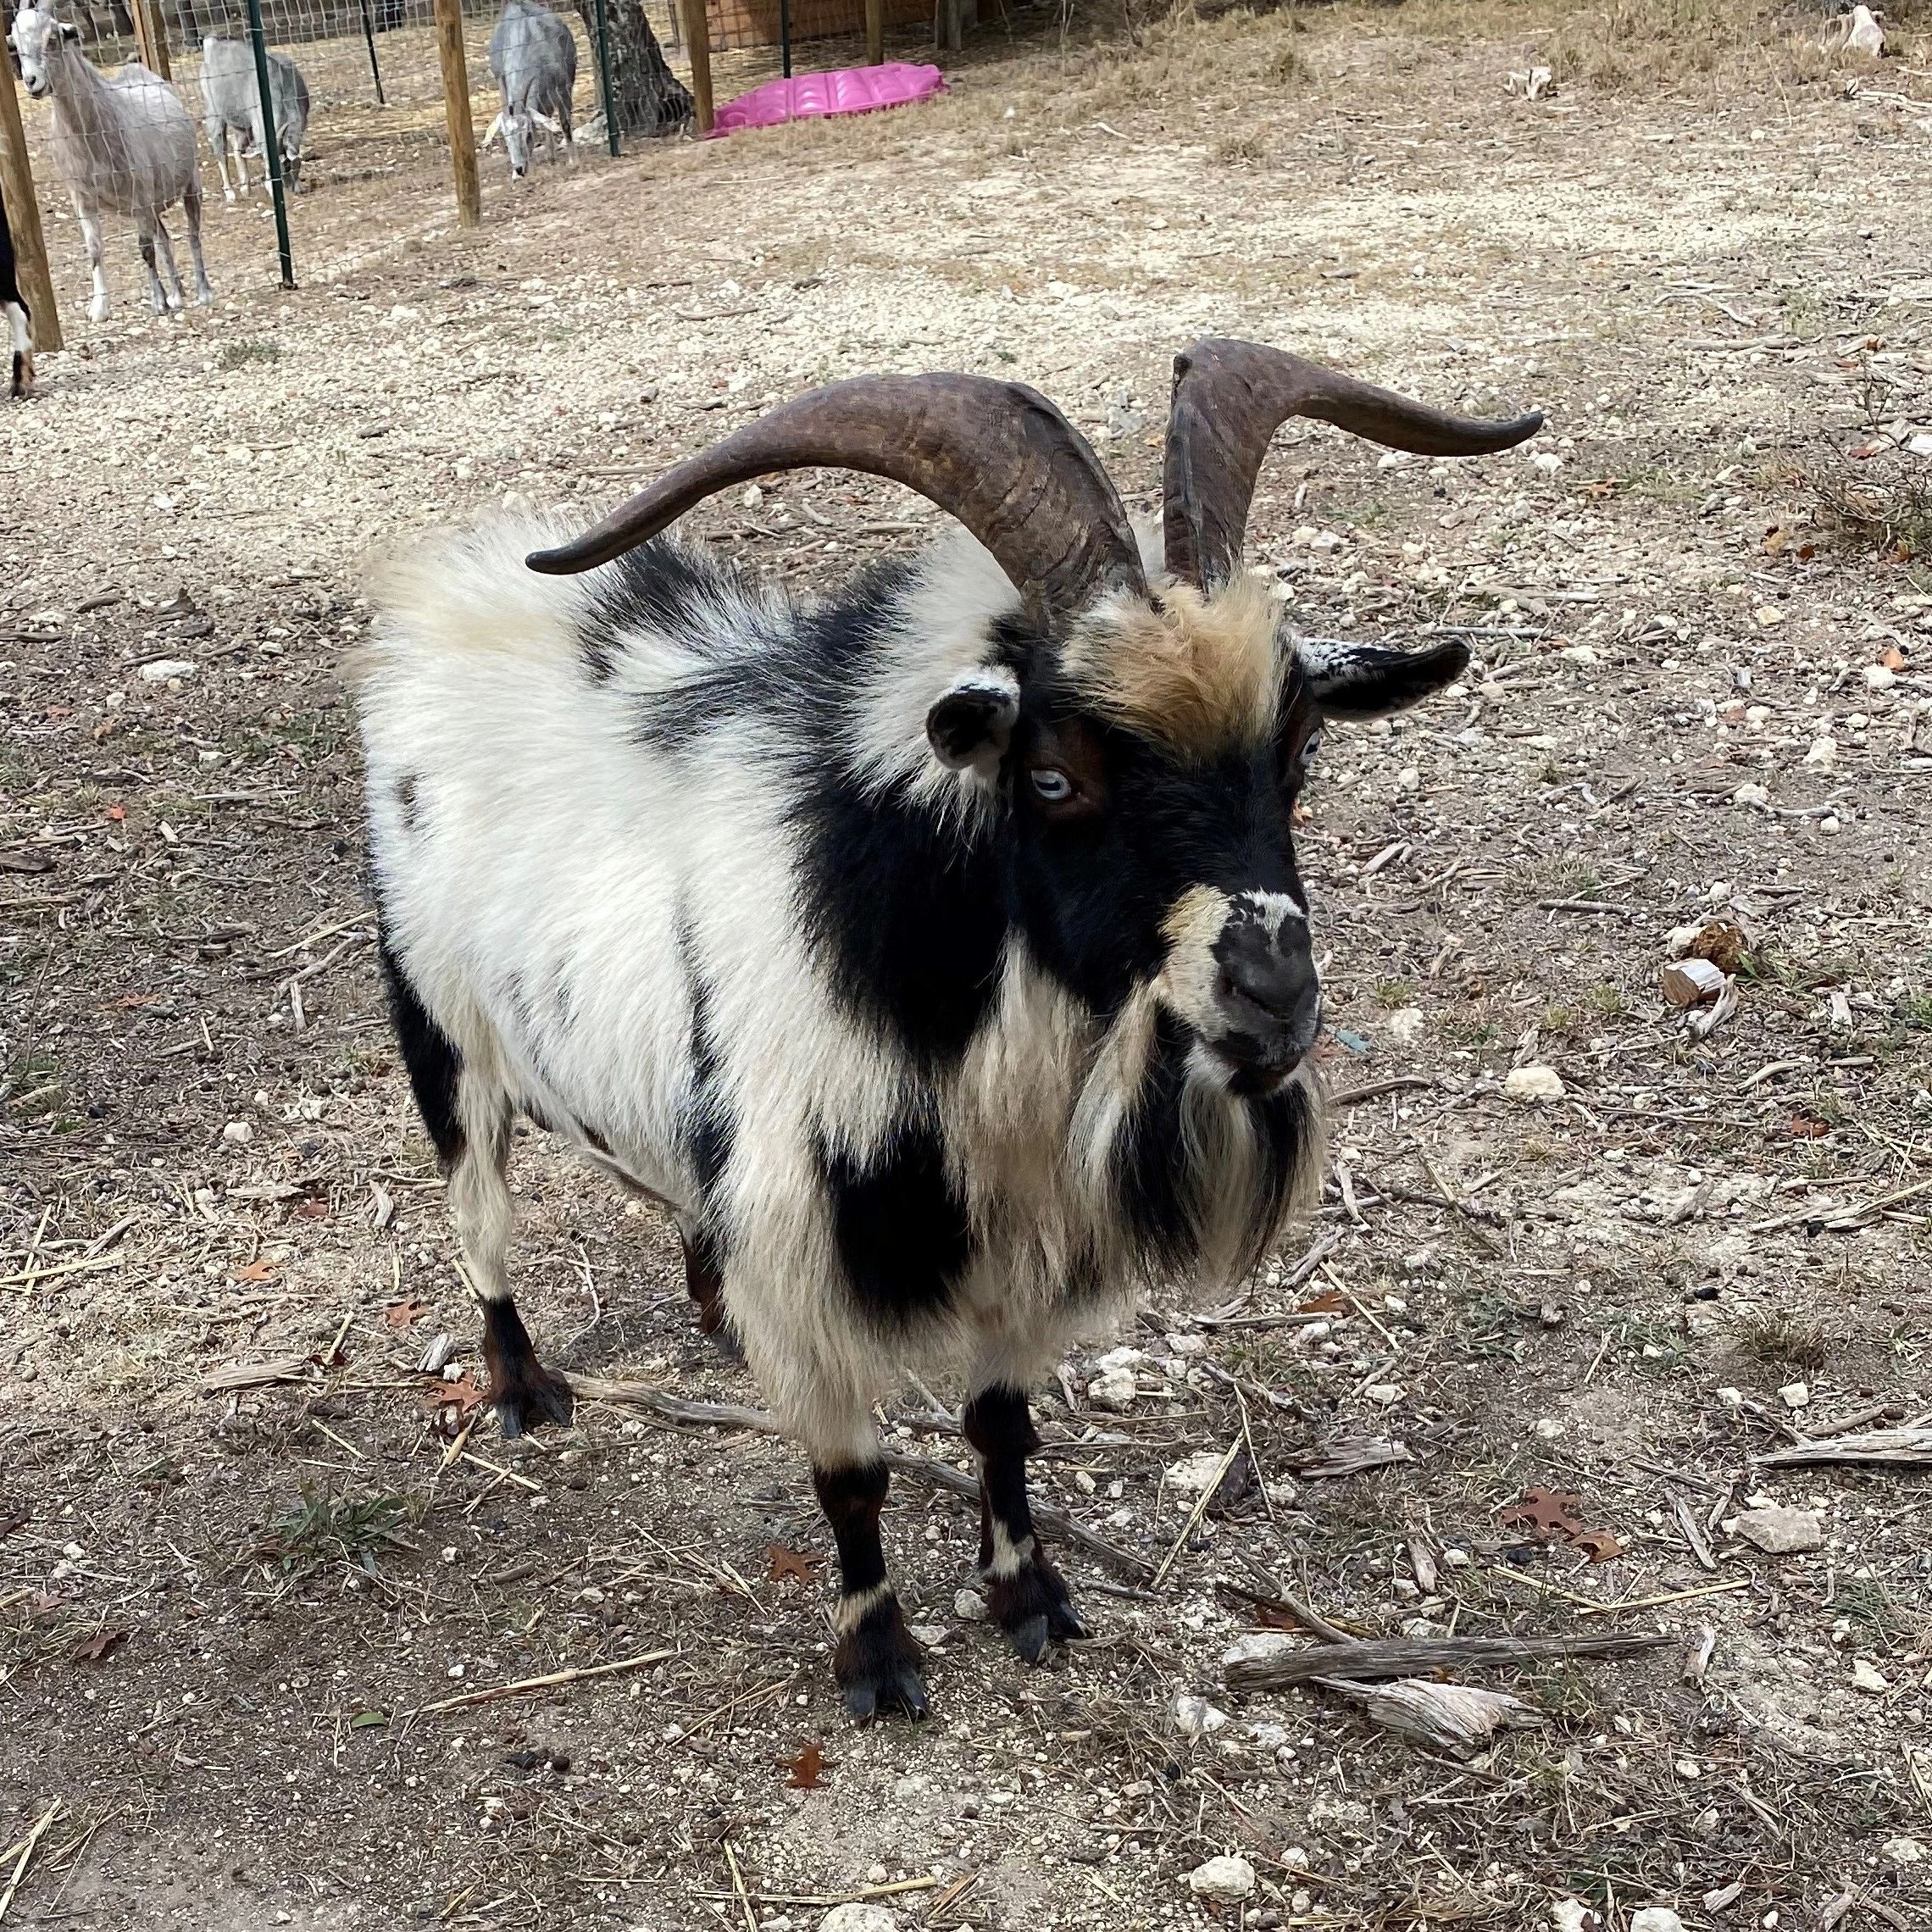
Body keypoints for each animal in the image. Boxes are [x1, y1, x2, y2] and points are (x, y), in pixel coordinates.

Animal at [8, 5, 211, 323]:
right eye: (15, 44)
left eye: (53, 38)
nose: (32, 82)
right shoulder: (82, 199)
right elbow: (95, 249)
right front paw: (99, 308)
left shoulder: (139, 195)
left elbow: (145, 249)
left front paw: (157, 302)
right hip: (153, 202)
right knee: (164, 237)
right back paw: (178, 294)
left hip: (189, 182)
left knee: (193, 233)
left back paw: (202, 291)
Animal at [199, 35, 311, 202]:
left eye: (285, 166)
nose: (284, 189)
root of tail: (212, 46)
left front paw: (298, 186)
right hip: (214, 115)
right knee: (221, 150)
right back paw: (230, 193)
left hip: (244, 126)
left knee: (236, 145)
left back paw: (245, 187)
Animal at [360, 339, 1540, 1720]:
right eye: (1054, 775)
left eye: (1296, 750)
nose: (1272, 995)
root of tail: (449, 585)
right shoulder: (810, 1245)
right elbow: (852, 1476)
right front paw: (878, 1657)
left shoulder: (1019, 1240)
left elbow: (1002, 1429)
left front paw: (1030, 1598)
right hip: (443, 1032)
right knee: (480, 1223)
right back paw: (523, 1390)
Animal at [484, 0, 575, 180]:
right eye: (506, 140)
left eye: (528, 134)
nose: (520, 169)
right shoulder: (501, 81)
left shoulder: (562, 87)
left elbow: (565, 122)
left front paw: (573, 161)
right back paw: (550, 156)